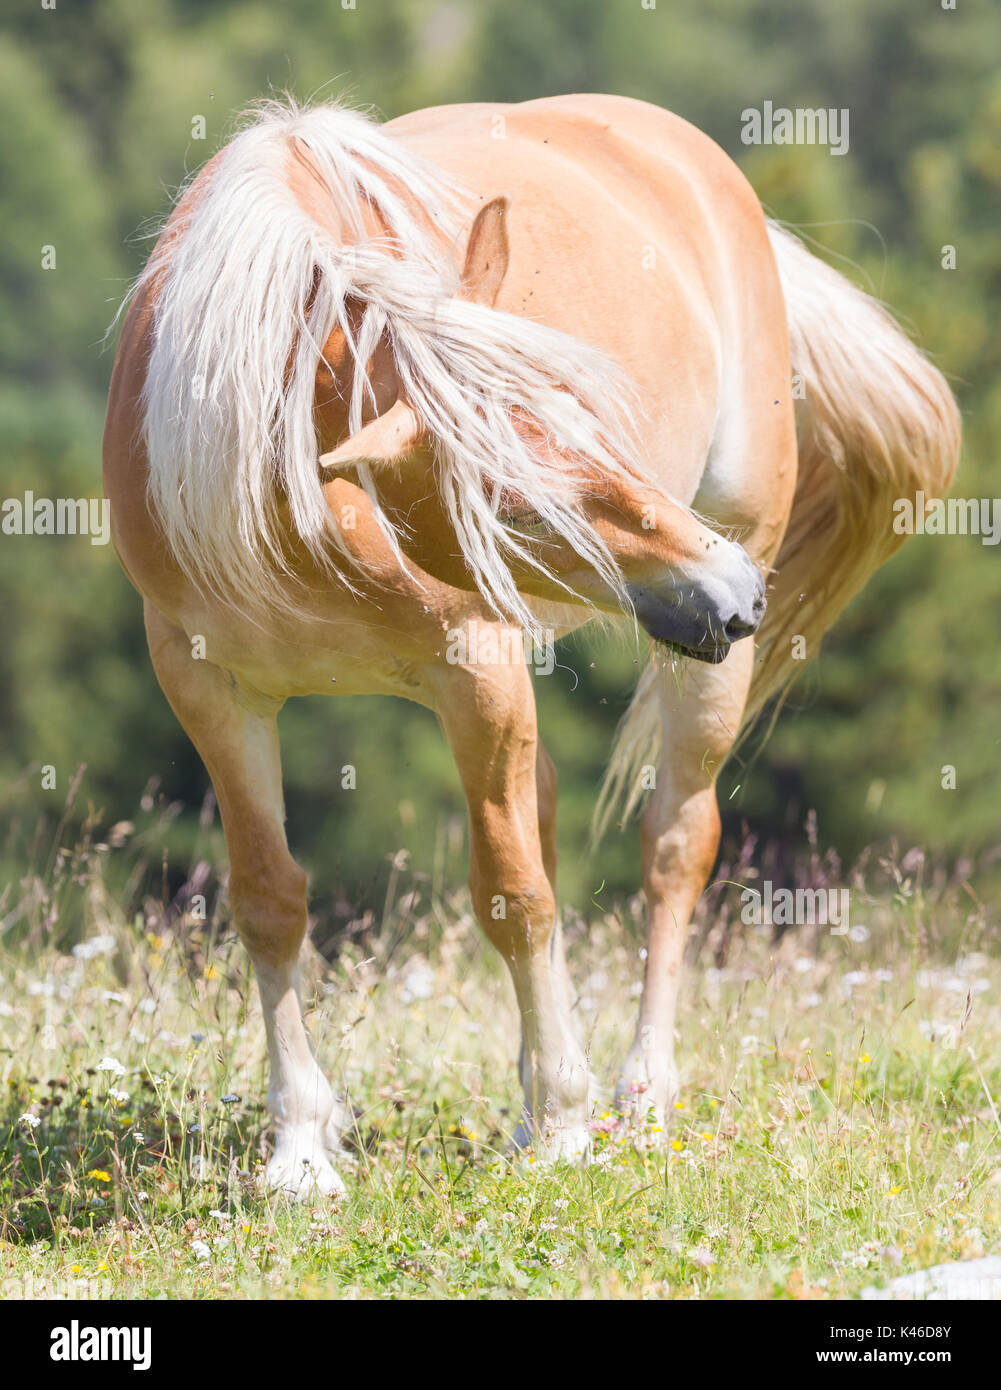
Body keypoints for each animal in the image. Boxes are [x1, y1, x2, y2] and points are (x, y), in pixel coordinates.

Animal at [103, 93, 960, 1196]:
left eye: (590, 415)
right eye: (512, 501)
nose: (733, 592)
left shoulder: (475, 669)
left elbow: (513, 895)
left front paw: (559, 1123)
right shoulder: (210, 689)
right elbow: (268, 899)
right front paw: (299, 1151)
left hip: (703, 637)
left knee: (672, 848)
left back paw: (635, 1099)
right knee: (545, 815)